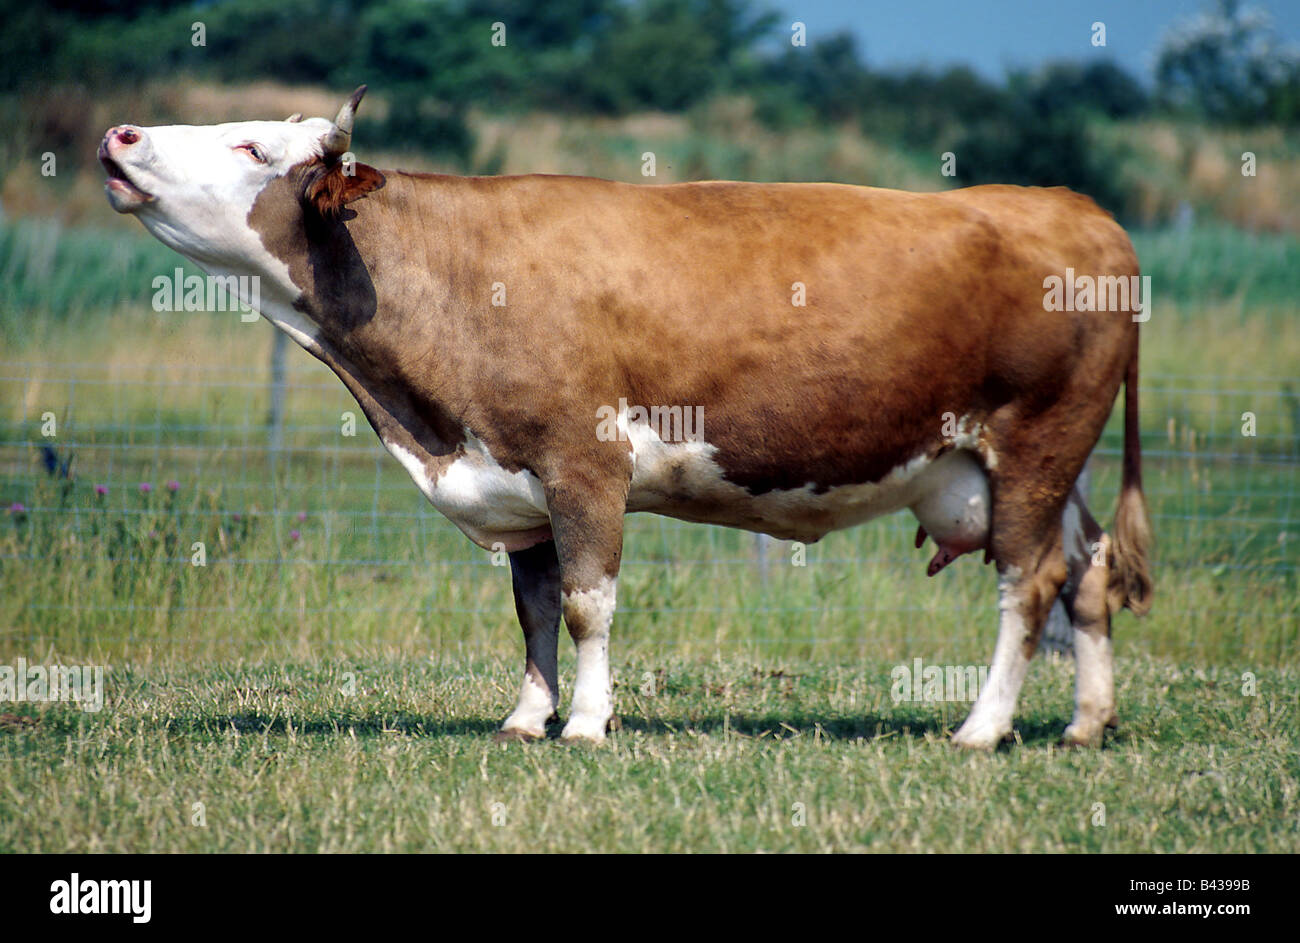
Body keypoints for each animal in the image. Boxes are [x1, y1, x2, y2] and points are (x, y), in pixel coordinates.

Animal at [100, 86, 1152, 749]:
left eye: (250, 148)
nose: (119, 136)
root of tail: (1077, 208)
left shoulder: (584, 463)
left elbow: (585, 603)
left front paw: (587, 723)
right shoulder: (515, 480)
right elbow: (531, 607)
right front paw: (526, 719)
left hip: (1035, 442)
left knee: (1028, 580)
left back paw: (981, 727)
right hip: (1042, 465)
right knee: (1087, 568)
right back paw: (1085, 721)